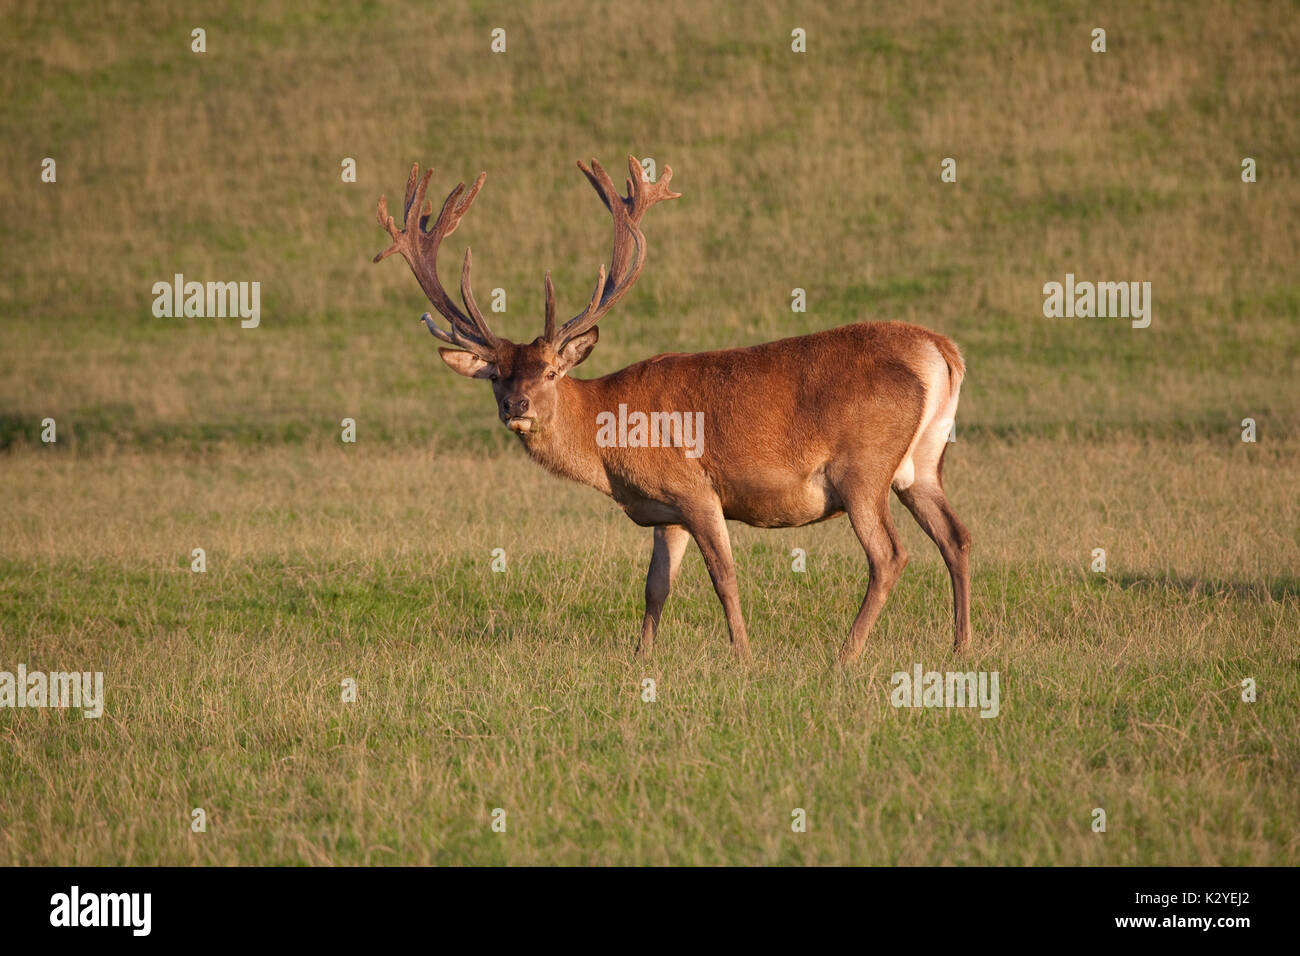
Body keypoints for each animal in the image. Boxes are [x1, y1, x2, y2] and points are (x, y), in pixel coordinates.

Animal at [373, 157, 971, 664]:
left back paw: (845, 655)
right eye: (497, 374)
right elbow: (655, 586)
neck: (610, 451)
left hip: (862, 467)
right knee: (956, 536)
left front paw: (743, 658)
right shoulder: (667, 512)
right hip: (922, 463)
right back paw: (961, 646)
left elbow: (724, 576)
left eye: (550, 372)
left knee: (889, 555)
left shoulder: (695, 486)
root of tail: (941, 351)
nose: (516, 405)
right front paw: (642, 657)